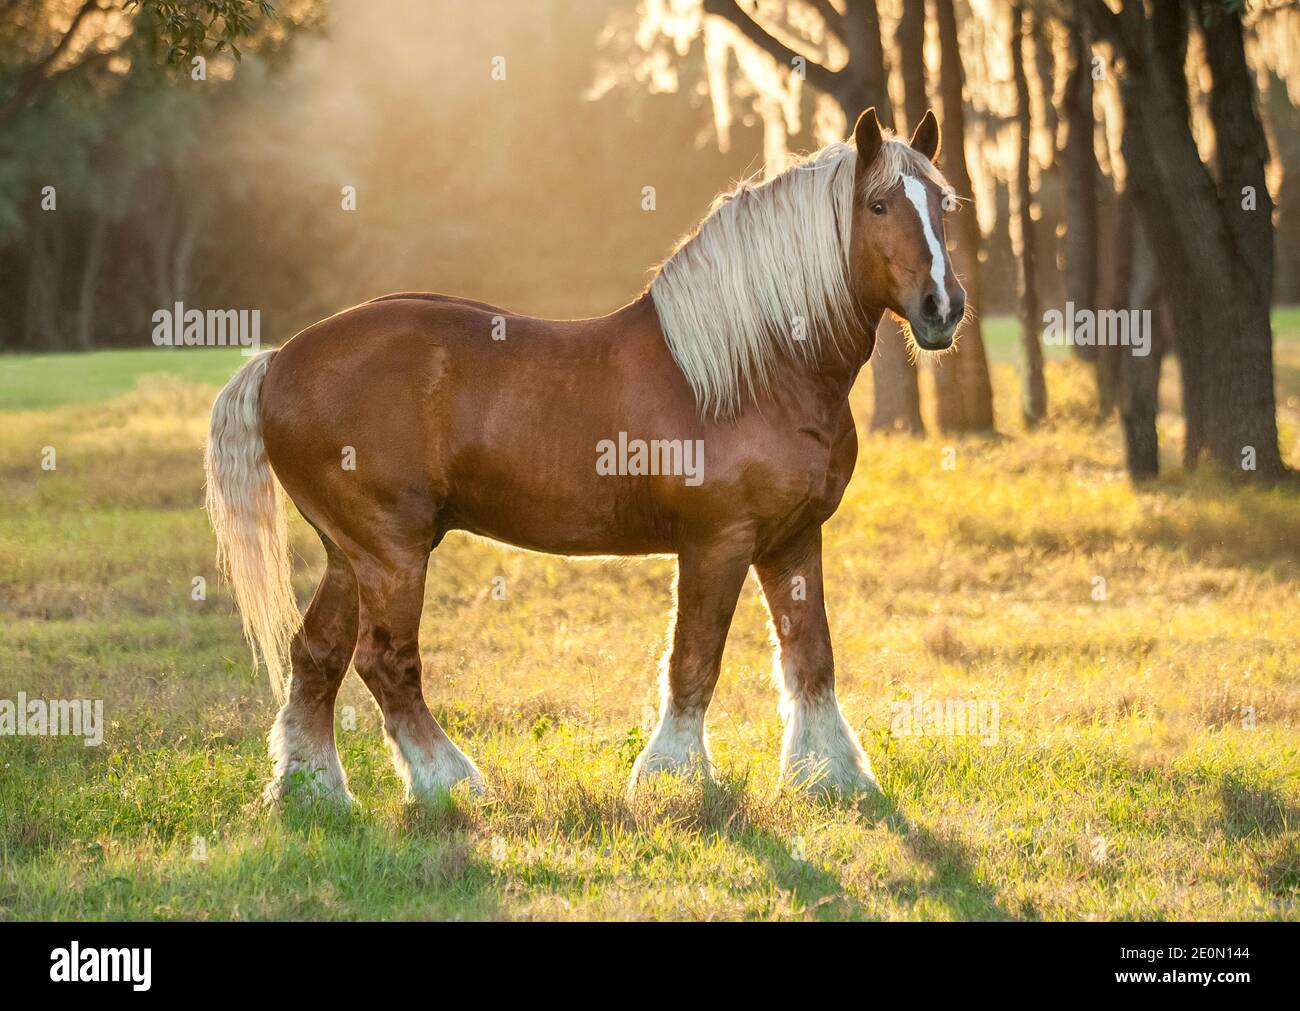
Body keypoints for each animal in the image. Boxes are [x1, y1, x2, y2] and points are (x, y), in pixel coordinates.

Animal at [203, 107, 965, 806]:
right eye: (877, 205)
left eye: (944, 205)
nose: (943, 307)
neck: (761, 369)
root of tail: (279, 360)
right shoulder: (718, 540)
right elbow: (695, 659)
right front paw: (673, 776)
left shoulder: (793, 537)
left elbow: (811, 657)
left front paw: (830, 775)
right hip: (392, 549)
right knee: (386, 661)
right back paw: (450, 782)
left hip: (349, 552)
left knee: (317, 654)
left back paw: (311, 790)